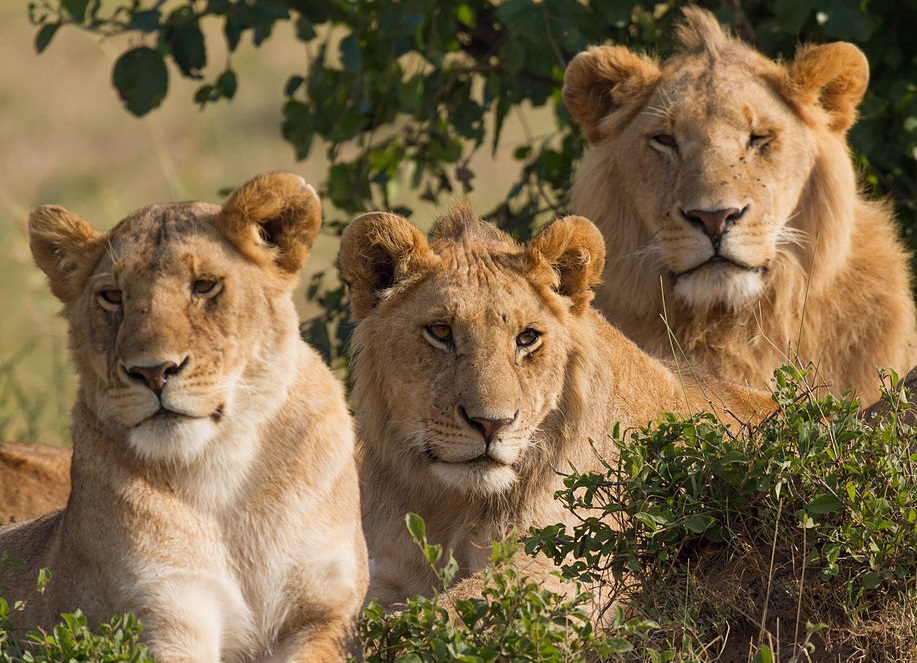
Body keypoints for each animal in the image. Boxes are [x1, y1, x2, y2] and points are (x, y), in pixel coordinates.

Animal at [0, 173, 368, 662]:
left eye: (204, 285)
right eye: (113, 297)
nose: (152, 371)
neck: (226, 475)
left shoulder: (326, 612)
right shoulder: (163, 609)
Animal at [338, 201, 769, 608]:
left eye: (527, 338)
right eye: (440, 332)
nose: (491, 424)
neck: (451, 506)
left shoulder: (572, 564)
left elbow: (447, 611)